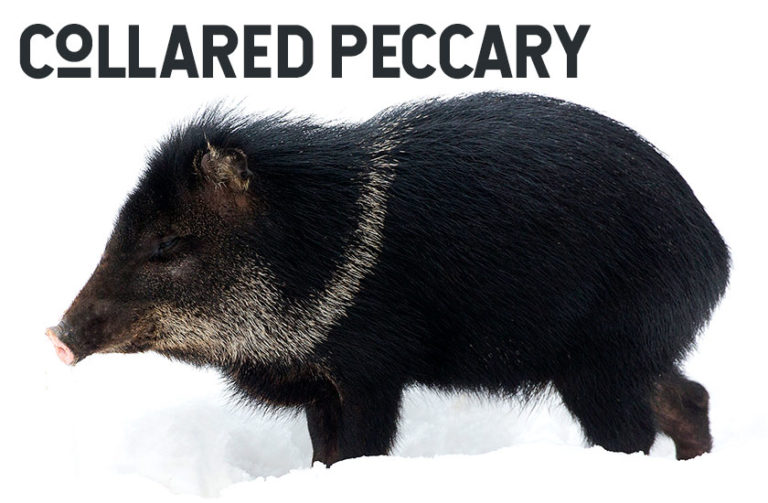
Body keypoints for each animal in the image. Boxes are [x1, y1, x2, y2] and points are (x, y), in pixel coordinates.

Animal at [46, 92, 729, 465]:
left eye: (165, 244)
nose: (56, 337)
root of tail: (717, 256)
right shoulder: (320, 384)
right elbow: (323, 455)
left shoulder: (369, 371)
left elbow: (360, 450)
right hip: (630, 356)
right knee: (690, 398)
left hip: (601, 360)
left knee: (635, 433)